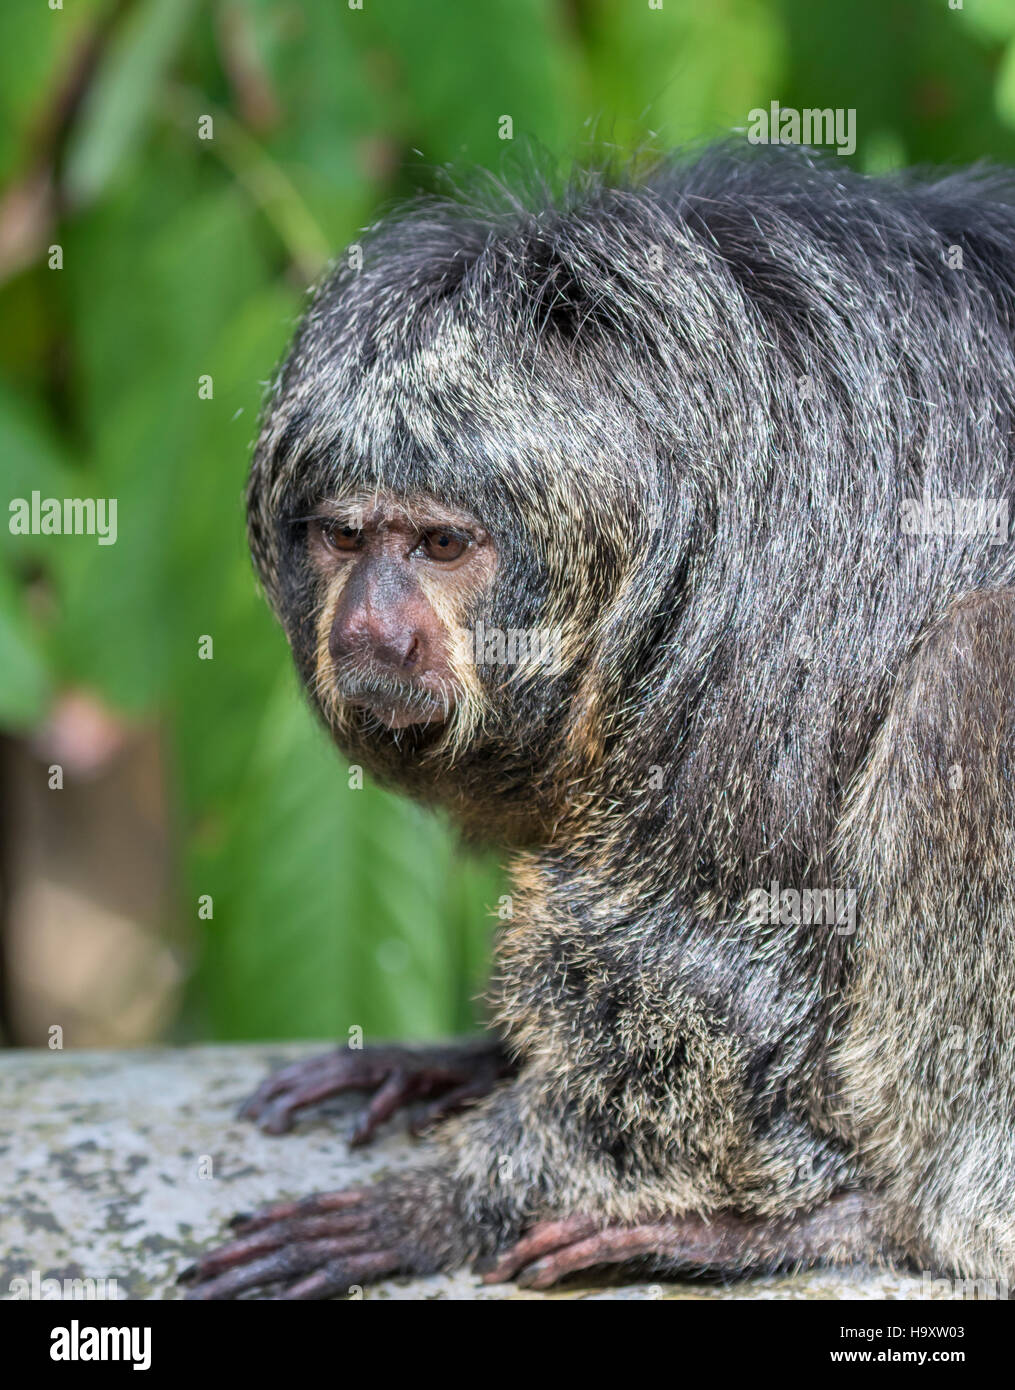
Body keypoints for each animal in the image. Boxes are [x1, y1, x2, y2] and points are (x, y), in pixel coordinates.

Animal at [181, 144, 1015, 1299]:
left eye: (443, 545)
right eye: (345, 537)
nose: (373, 633)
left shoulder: (775, 627)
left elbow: (715, 979)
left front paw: (445, 1207)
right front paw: (467, 1062)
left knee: (973, 667)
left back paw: (883, 1221)